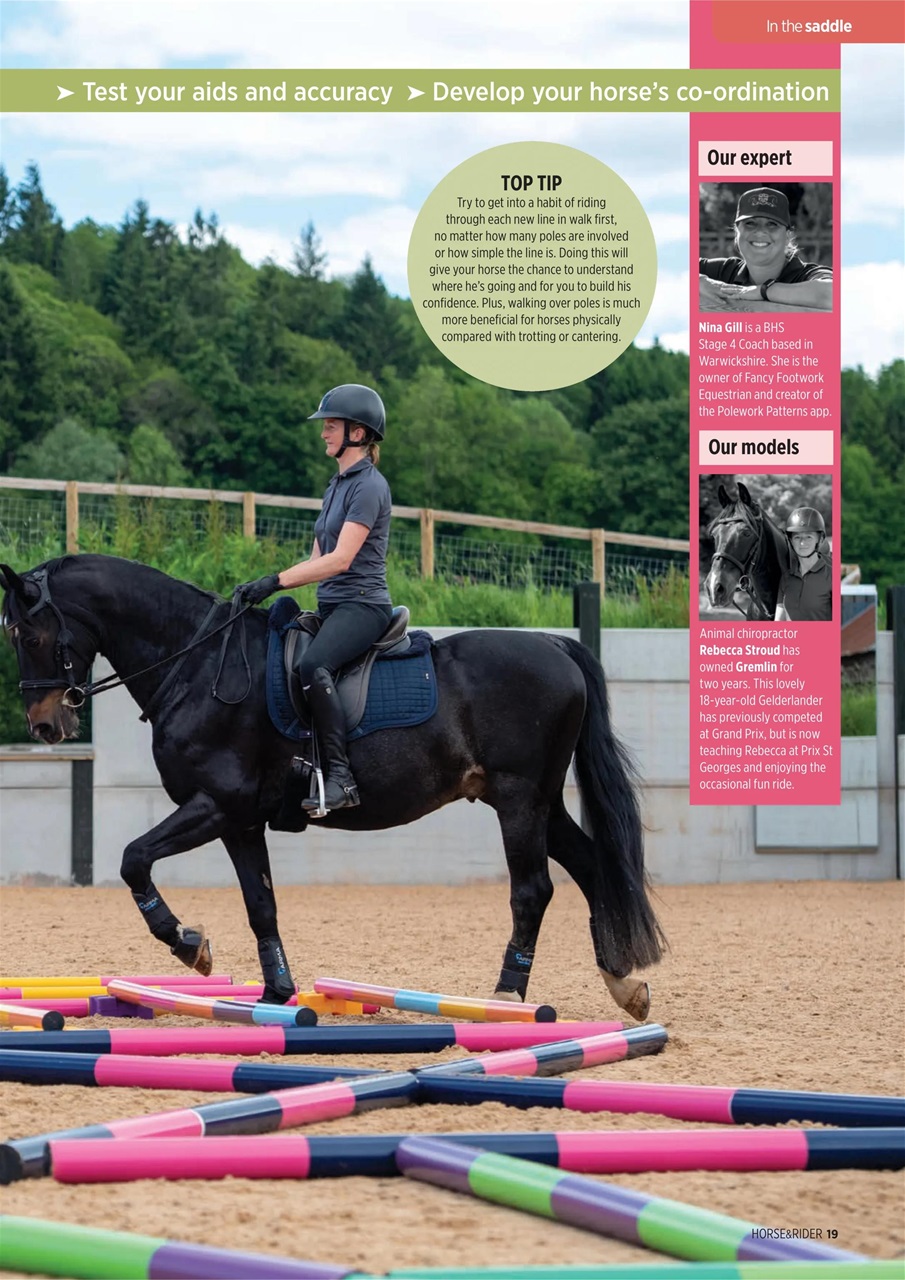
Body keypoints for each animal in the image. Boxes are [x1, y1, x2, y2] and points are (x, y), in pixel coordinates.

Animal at [0, 554, 665, 1021]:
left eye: (28, 636)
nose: (44, 726)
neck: (198, 665)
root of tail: (555, 643)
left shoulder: (215, 805)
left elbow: (133, 858)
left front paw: (188, 943)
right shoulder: (240, 820)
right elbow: (260, 902)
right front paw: (276, 993)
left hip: (520, 799)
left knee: (533, 890)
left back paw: (506, 995)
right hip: (540, 802)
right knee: (592, 865)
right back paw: (624, 984)